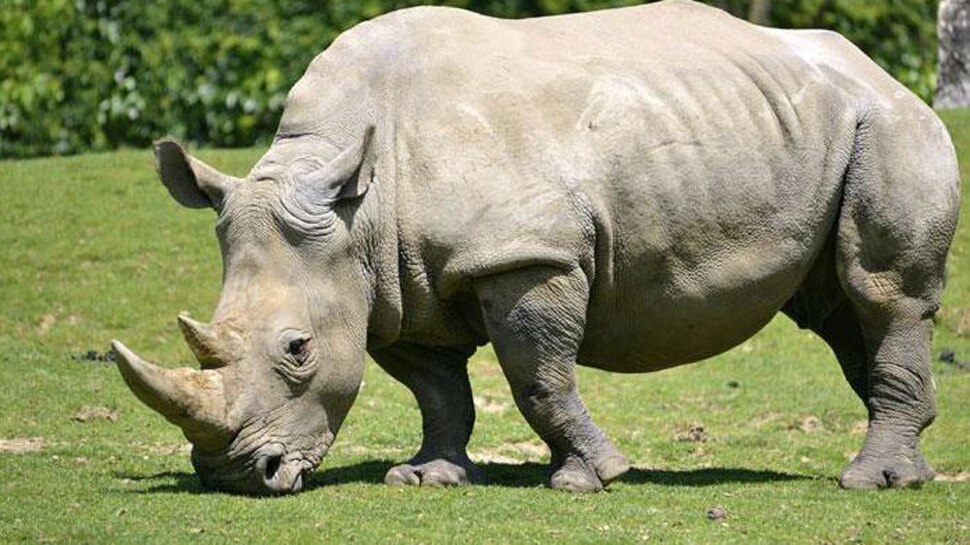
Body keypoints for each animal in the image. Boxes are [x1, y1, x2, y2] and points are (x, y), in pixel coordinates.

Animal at [111, 0, 960, 495]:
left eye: (298, 349)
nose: (233, 475)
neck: (359, 203)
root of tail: (886, 73)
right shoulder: (395, 281)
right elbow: (438, 388)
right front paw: (427, 477)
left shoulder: (526, 253)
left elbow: (538, 377)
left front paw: (588, 480)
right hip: (810, 126)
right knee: (838, 310)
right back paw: (903, 470)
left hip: (889, 126)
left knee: (880, 292)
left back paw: (871, 482)